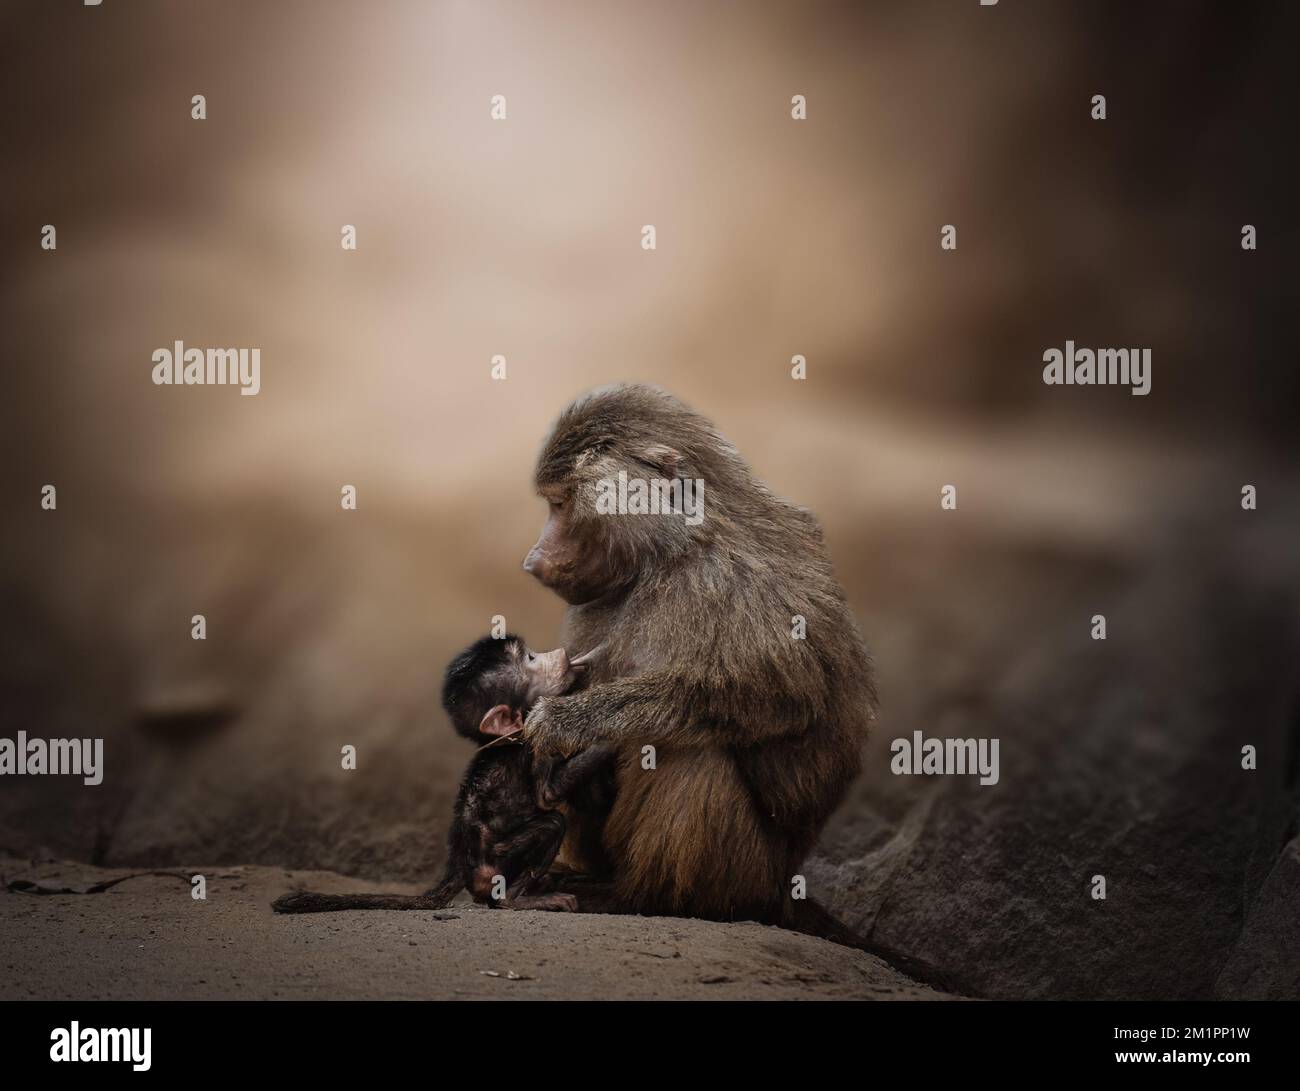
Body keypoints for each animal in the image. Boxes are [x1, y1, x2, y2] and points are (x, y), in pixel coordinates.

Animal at [272, 635, 614, 915]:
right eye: (530, 659)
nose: (558, 653)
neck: (507, 741)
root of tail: (459, 864)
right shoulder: (530, 746)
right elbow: (547, 796)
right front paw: (609, 738)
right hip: (494, 861)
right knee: (551, 824)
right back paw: (513, 900)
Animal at [520, 383, 878, 940]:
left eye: (560, 503)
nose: (532, 561)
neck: (671, 551)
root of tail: (784, 890)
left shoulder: (731, 581)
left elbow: (784, 696)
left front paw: (568, 720)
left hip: (749, 874)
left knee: (689, 747)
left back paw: (640, 898)